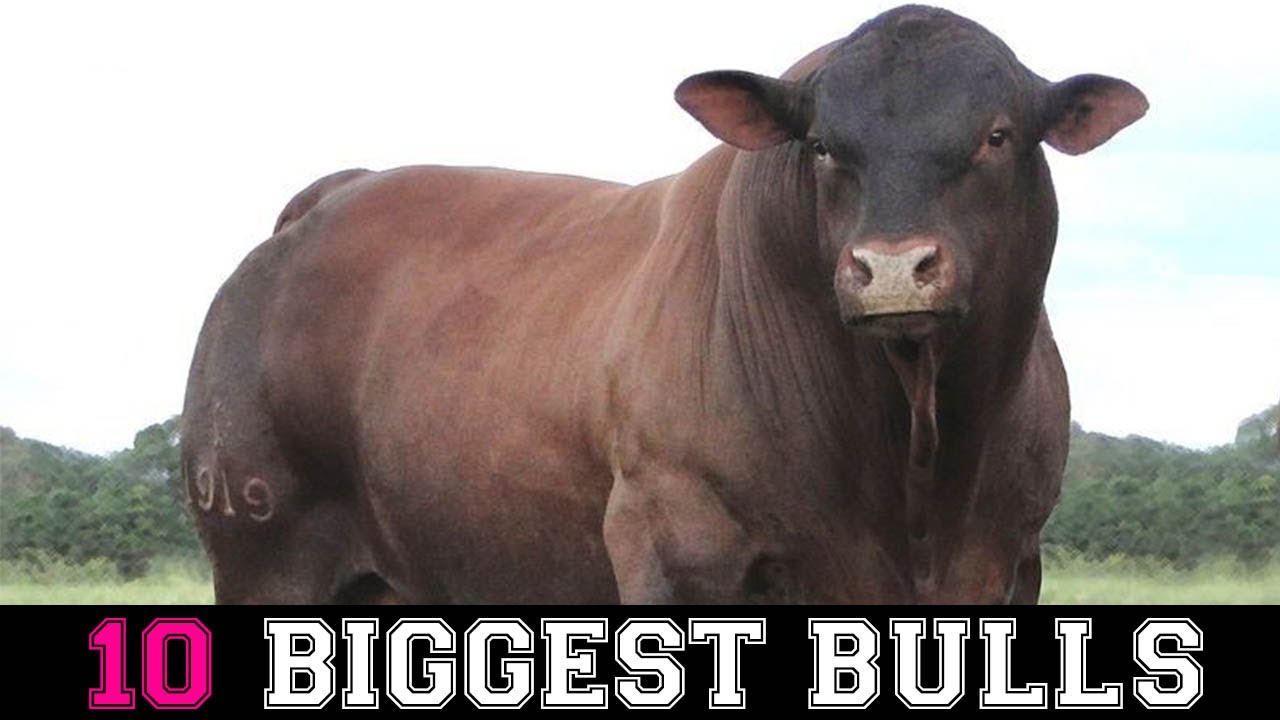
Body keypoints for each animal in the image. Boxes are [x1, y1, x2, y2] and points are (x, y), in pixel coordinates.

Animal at [182, 4, 1146, 603]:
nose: (894, 267)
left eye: (998, 134)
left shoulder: (1009, 554)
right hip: (261, 549)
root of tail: (328, 201)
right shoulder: (674, 539)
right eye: (823, 145)